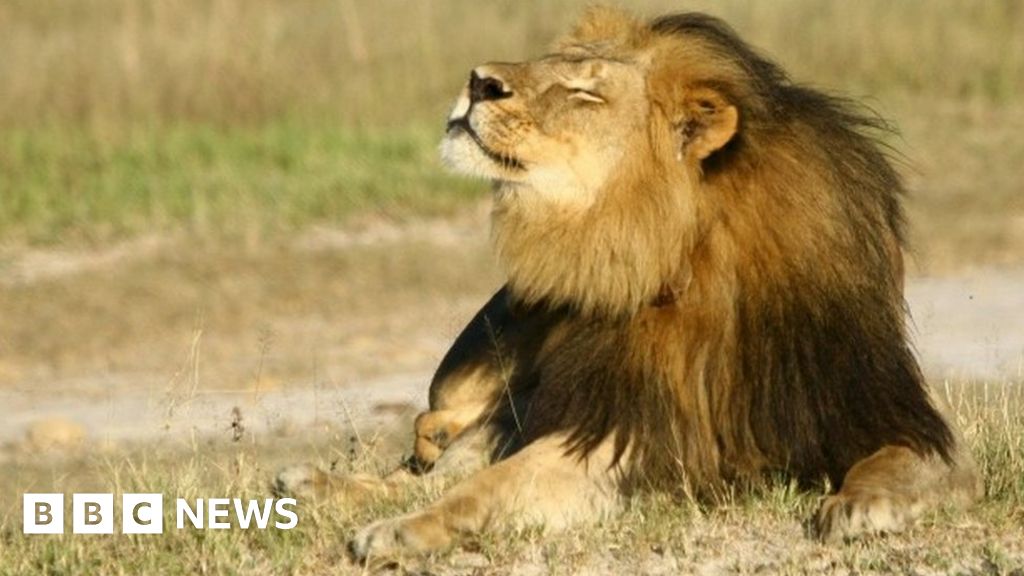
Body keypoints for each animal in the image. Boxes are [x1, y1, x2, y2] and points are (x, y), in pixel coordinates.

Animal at [275, 8, 982, 561]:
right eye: (551, 63)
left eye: (585, 94)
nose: (478, 82)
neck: (675, 251)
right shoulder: (619, 426)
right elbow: (484, 485)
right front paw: (400, 530)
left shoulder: (879, 409)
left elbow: (906, 459)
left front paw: (862, 506)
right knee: (431, 465)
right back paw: (313, 484)